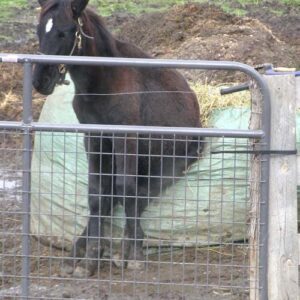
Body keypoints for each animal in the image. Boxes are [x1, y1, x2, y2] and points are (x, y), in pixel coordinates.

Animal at [32, 0, 202, 278]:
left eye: (66, 31)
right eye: (39, 31)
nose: (40, 80)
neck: (102, 83)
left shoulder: (126, 137)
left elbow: (127, 190)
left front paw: (133, 256)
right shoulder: (95, 137)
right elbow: (96, 195)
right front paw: (89, 259)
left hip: (167, 167)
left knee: (138, 196)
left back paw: (124, 248)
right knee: (113, 197)